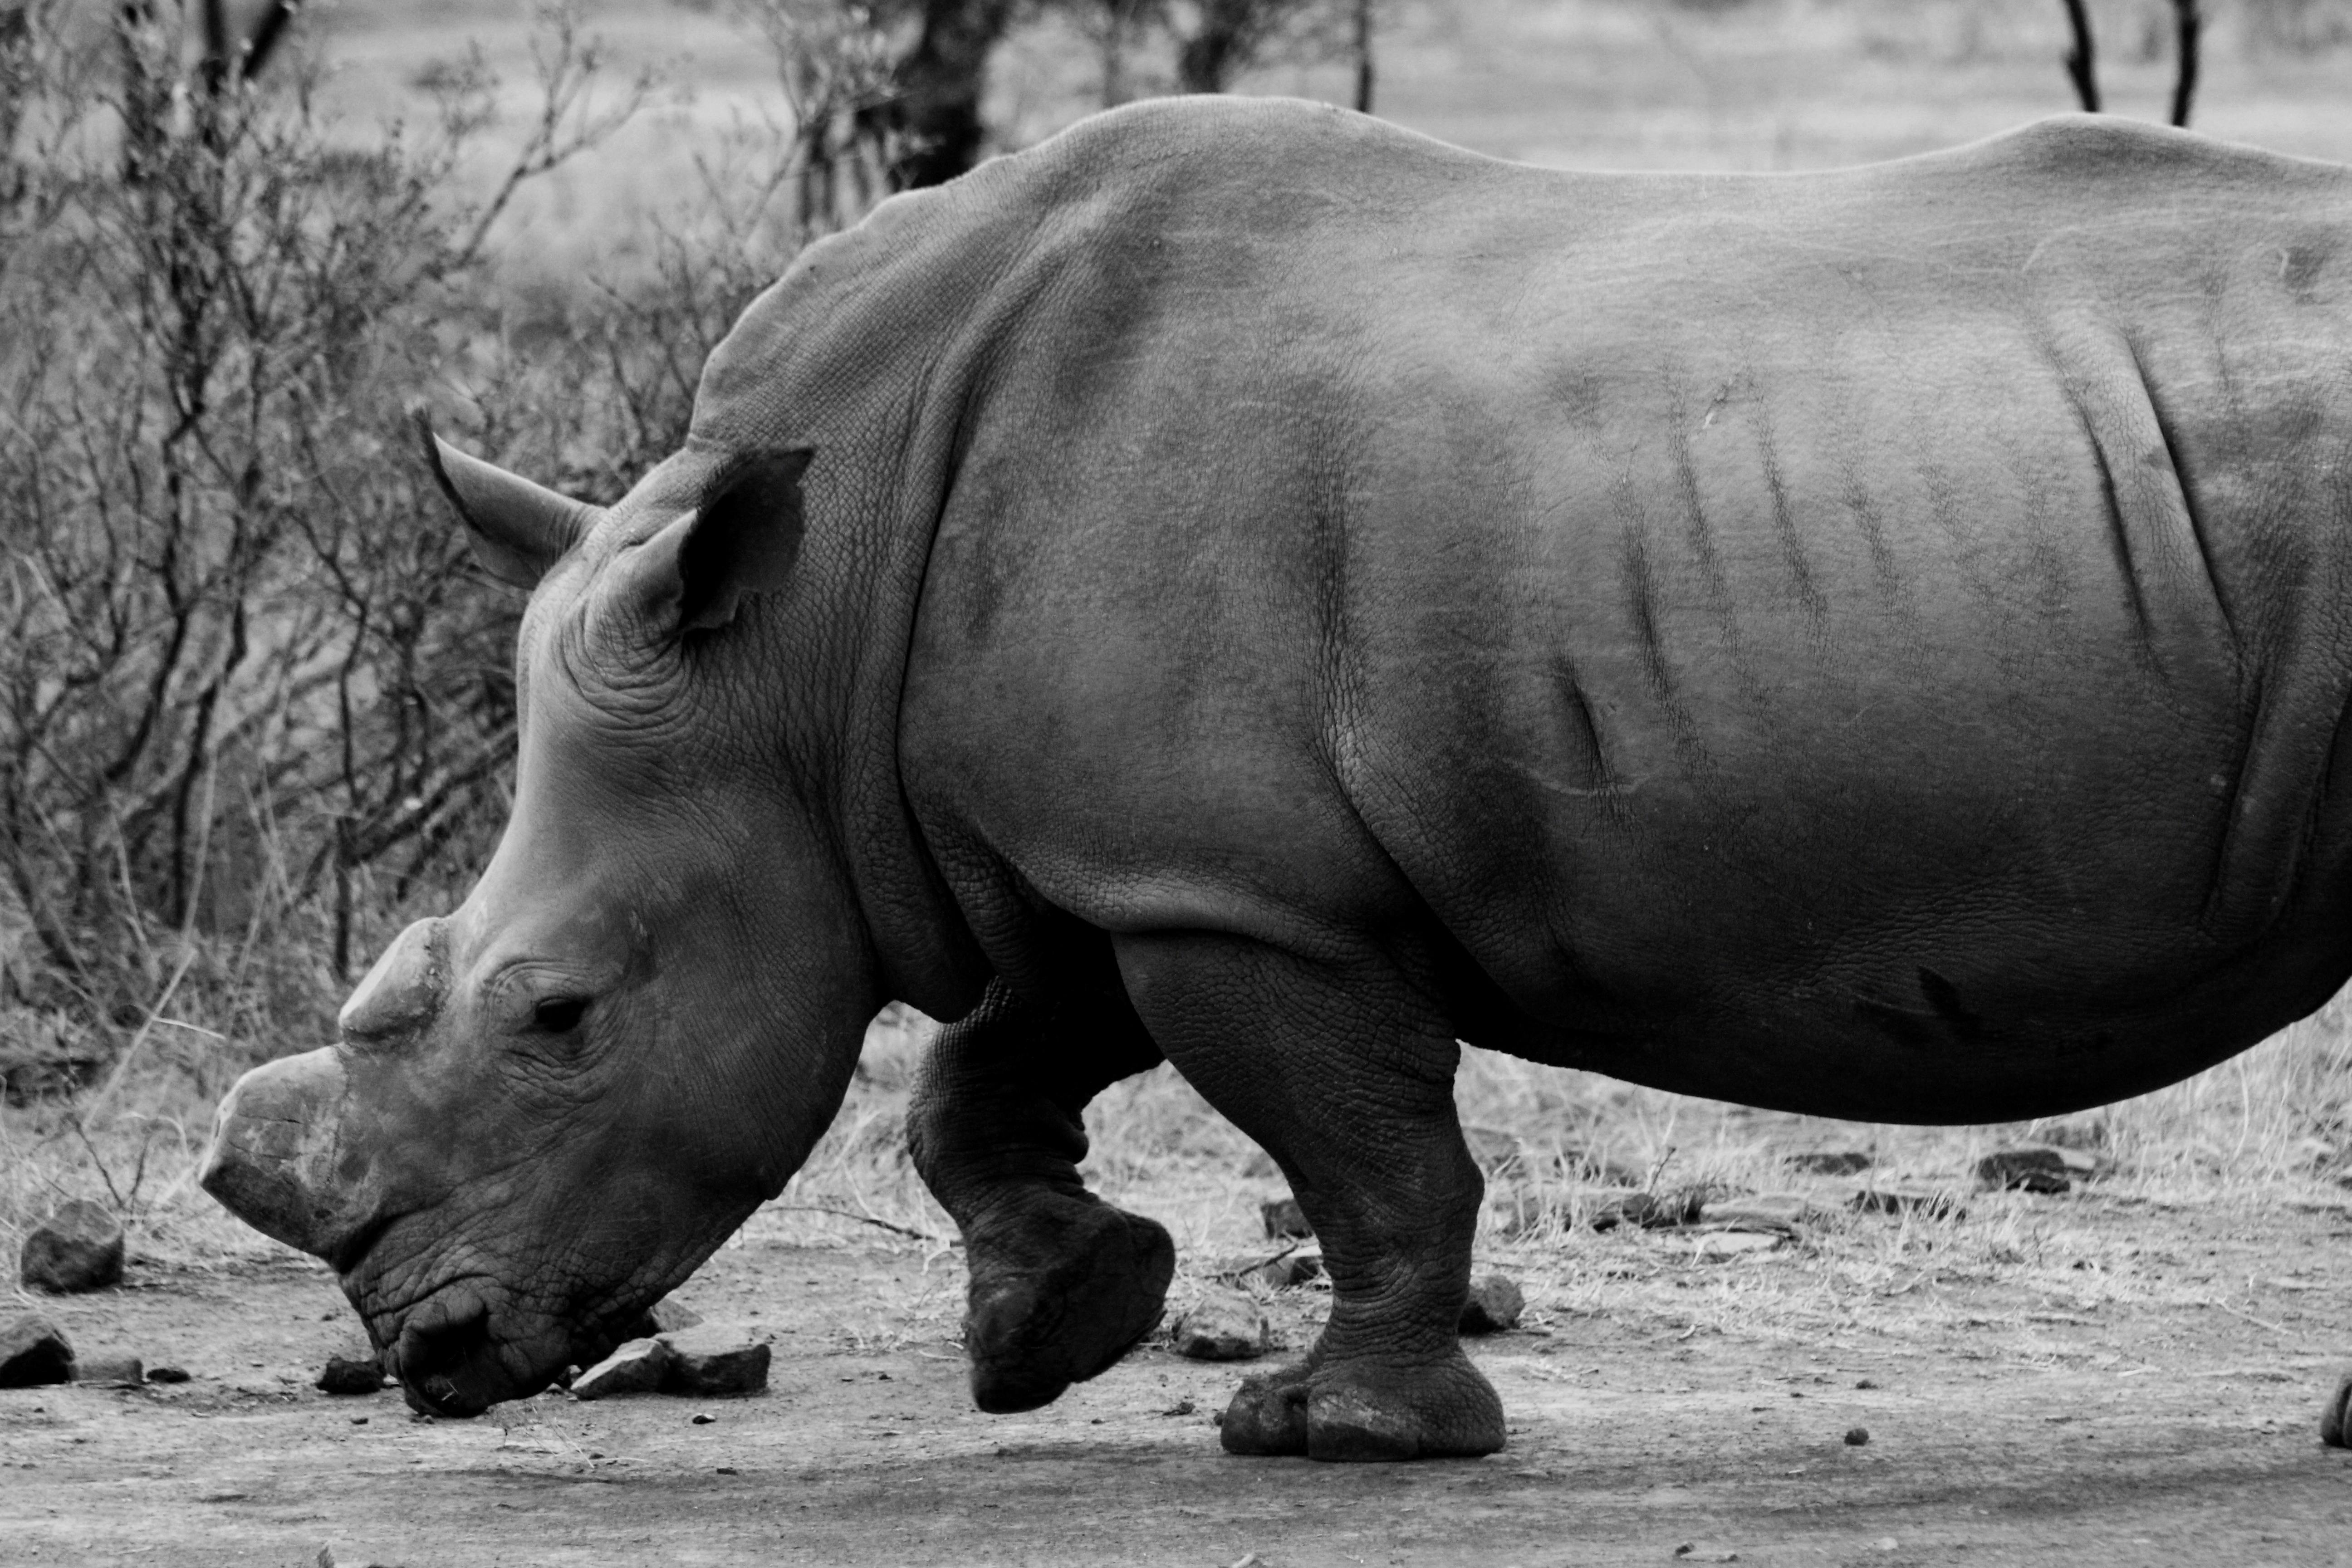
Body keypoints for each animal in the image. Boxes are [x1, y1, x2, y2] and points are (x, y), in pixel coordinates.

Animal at [203, 96, 2352, 1461]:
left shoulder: (1228, 889)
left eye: (560, 1015)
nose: (425, 1350)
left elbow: (1366, 1146)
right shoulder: (1113, 853)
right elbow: (977, 1079)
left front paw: (1330, 1431)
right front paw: (1050, 1336)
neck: (800, 650)